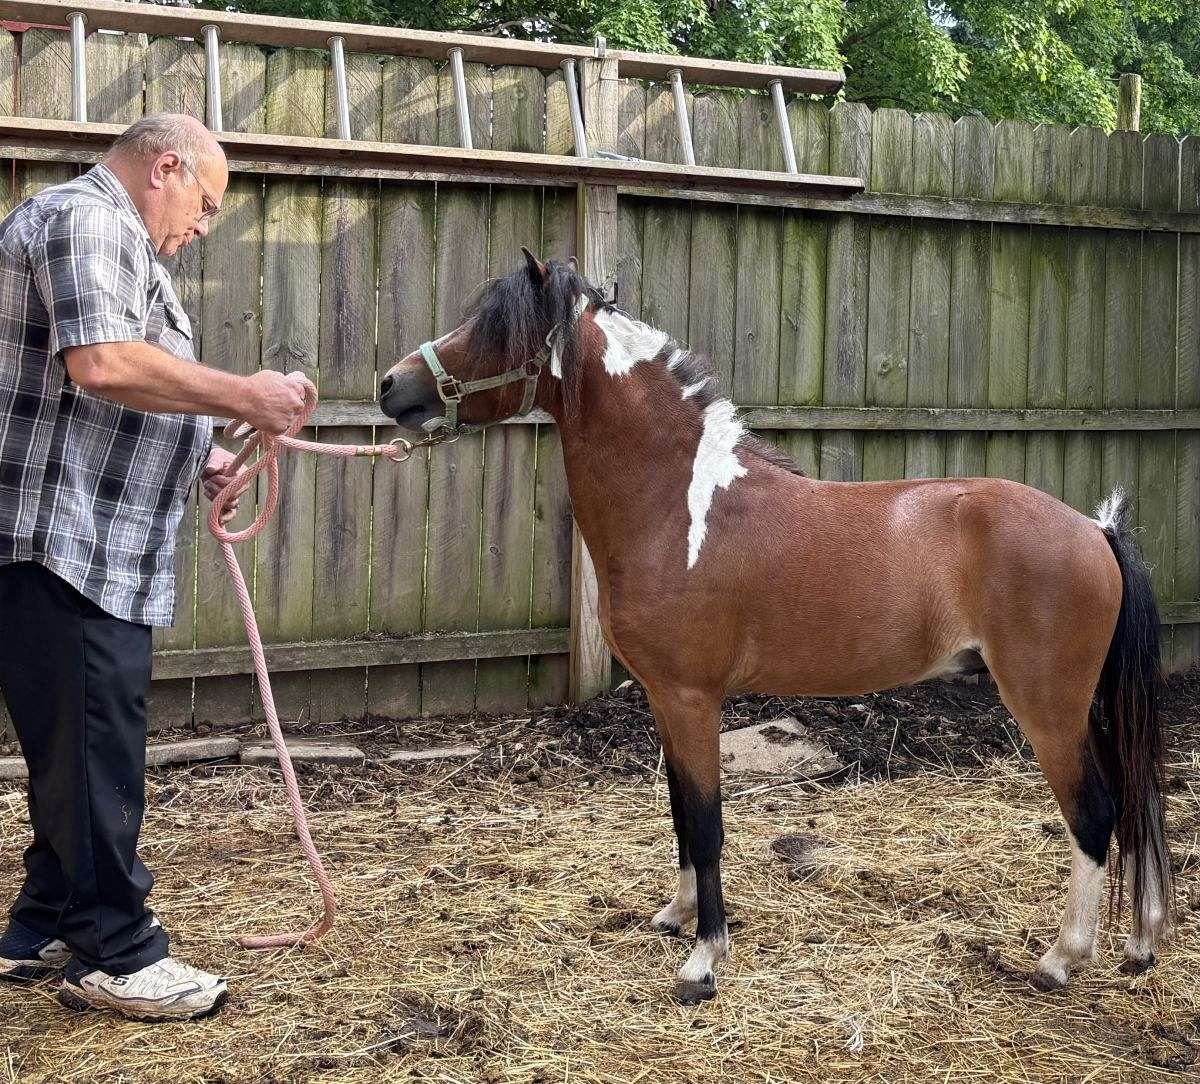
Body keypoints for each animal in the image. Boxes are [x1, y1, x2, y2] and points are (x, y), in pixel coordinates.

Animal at [379, 249, 1172, 1003]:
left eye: (493, 329)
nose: (391, 386)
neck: (678, 507)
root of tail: (1095, 530)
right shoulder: (664, 700)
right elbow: (681, 814)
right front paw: (677, 915)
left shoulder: (694, 699)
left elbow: (706, 822)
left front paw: (703, 961)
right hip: (1082, 707)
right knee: (1129, 803)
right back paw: (1138, 944)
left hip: (1047, 708)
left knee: (1093, 814)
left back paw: (1062, 959)